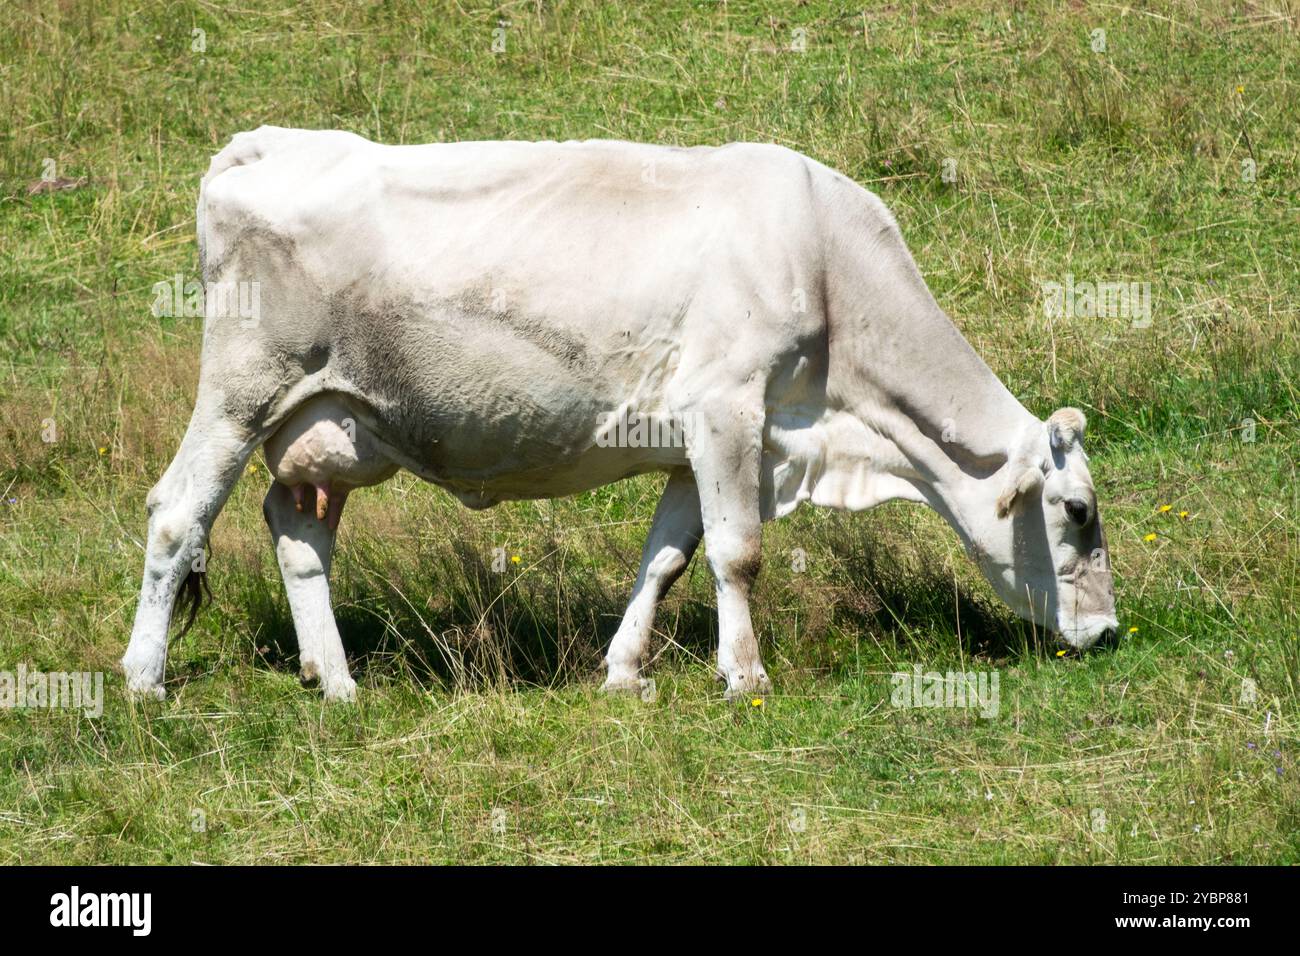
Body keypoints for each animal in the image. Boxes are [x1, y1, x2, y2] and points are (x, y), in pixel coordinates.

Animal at [122, 127, 1117, 703]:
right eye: (1076, 511)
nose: (1108, 634)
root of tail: (263, 142)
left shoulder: (699, 441)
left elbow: (669, 559)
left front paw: (625, 671)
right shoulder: (729, 408)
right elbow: (738, 554)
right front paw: (746, 677)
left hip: (333, 426)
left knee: (296, 532)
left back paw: (334, 681)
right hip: (242, 390)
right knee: (177, 513)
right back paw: (144, 682)